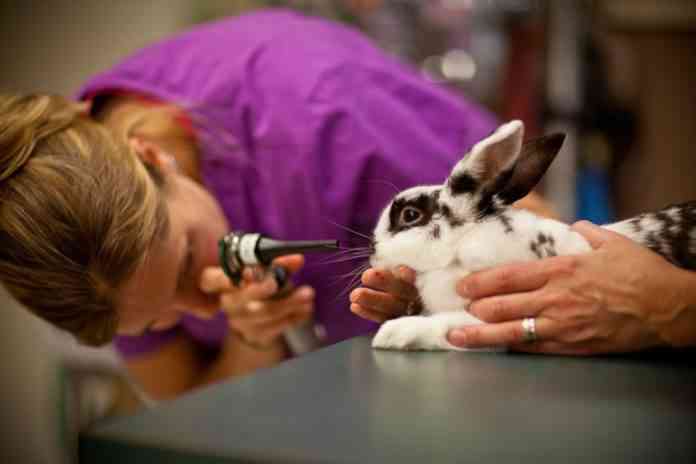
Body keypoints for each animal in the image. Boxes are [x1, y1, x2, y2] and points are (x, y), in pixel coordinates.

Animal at [369, 120, 696, 351]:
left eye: (410, 215)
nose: (373, 251)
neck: (460, 248)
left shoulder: (487, 318)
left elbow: (447, 325)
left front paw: (392, 334)